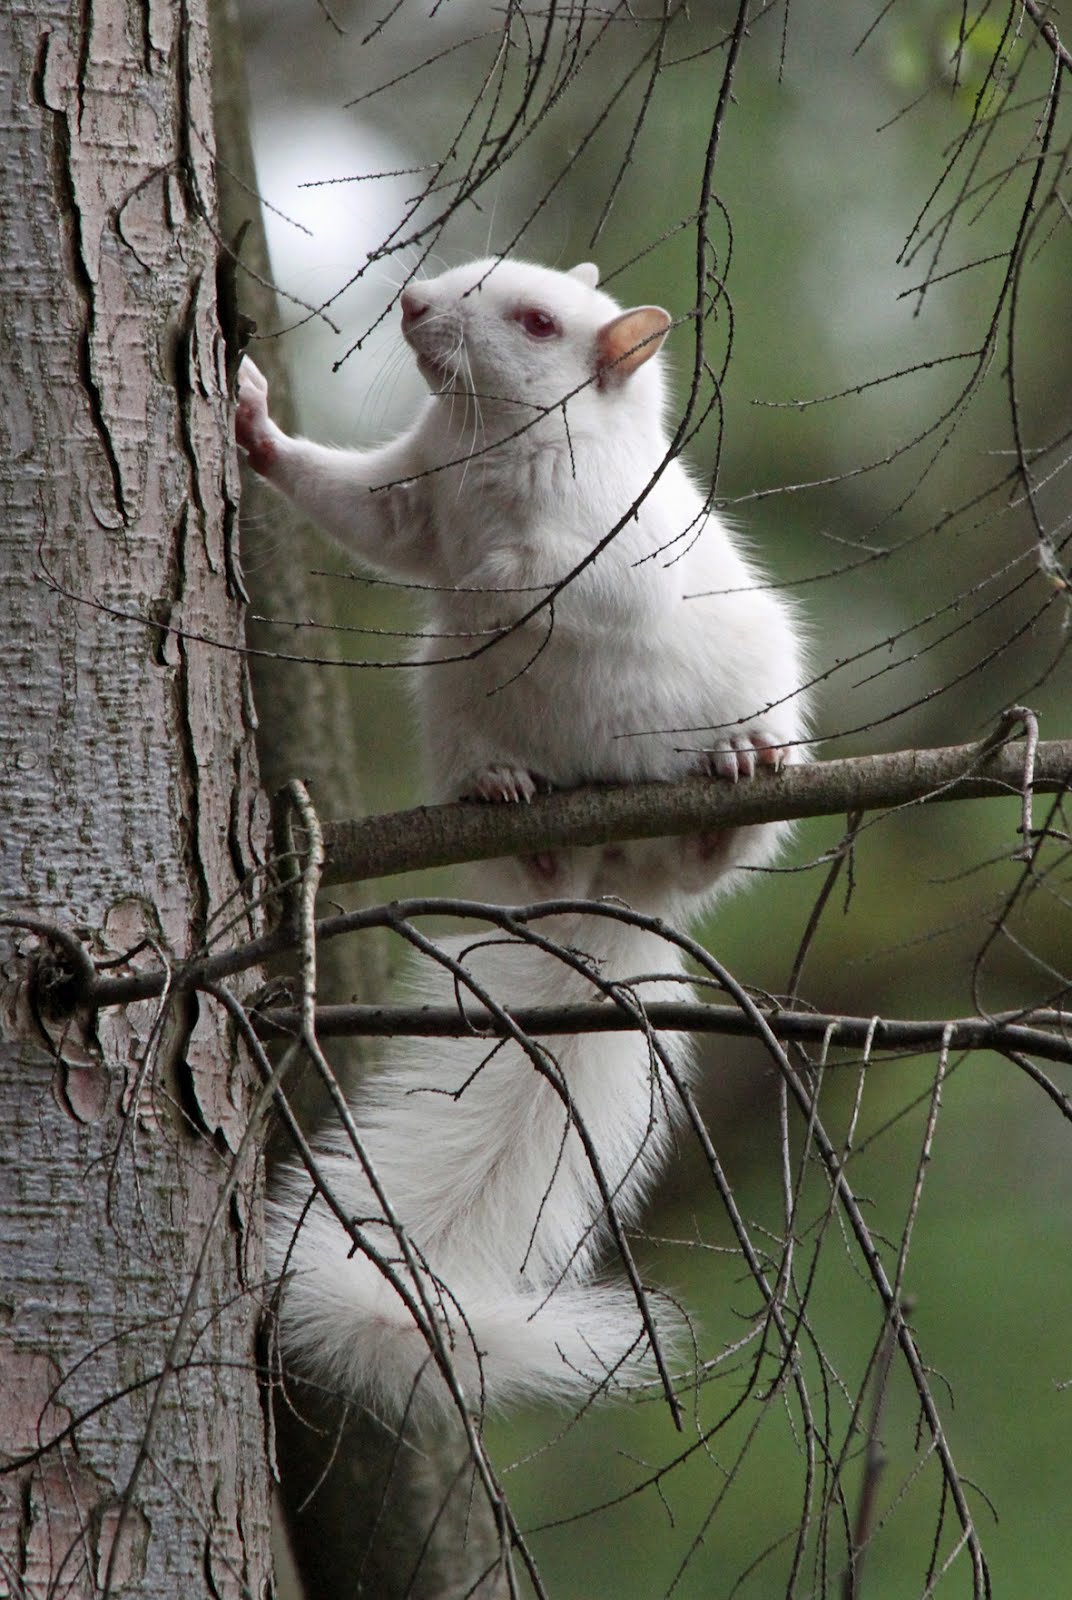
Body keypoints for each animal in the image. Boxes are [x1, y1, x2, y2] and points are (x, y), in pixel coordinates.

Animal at [236, 257, 809, 1423]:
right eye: (469, 274)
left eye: (539, 322)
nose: (412, 302)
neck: (488, 440)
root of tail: (624, 873)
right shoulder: (415, 487)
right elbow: (367, 512)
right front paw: (256, 425)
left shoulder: (614, 545)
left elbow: (553, 586)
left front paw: (482, 586)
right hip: (453, 715)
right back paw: (509, 794)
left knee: (721, 842)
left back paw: (734, 775)